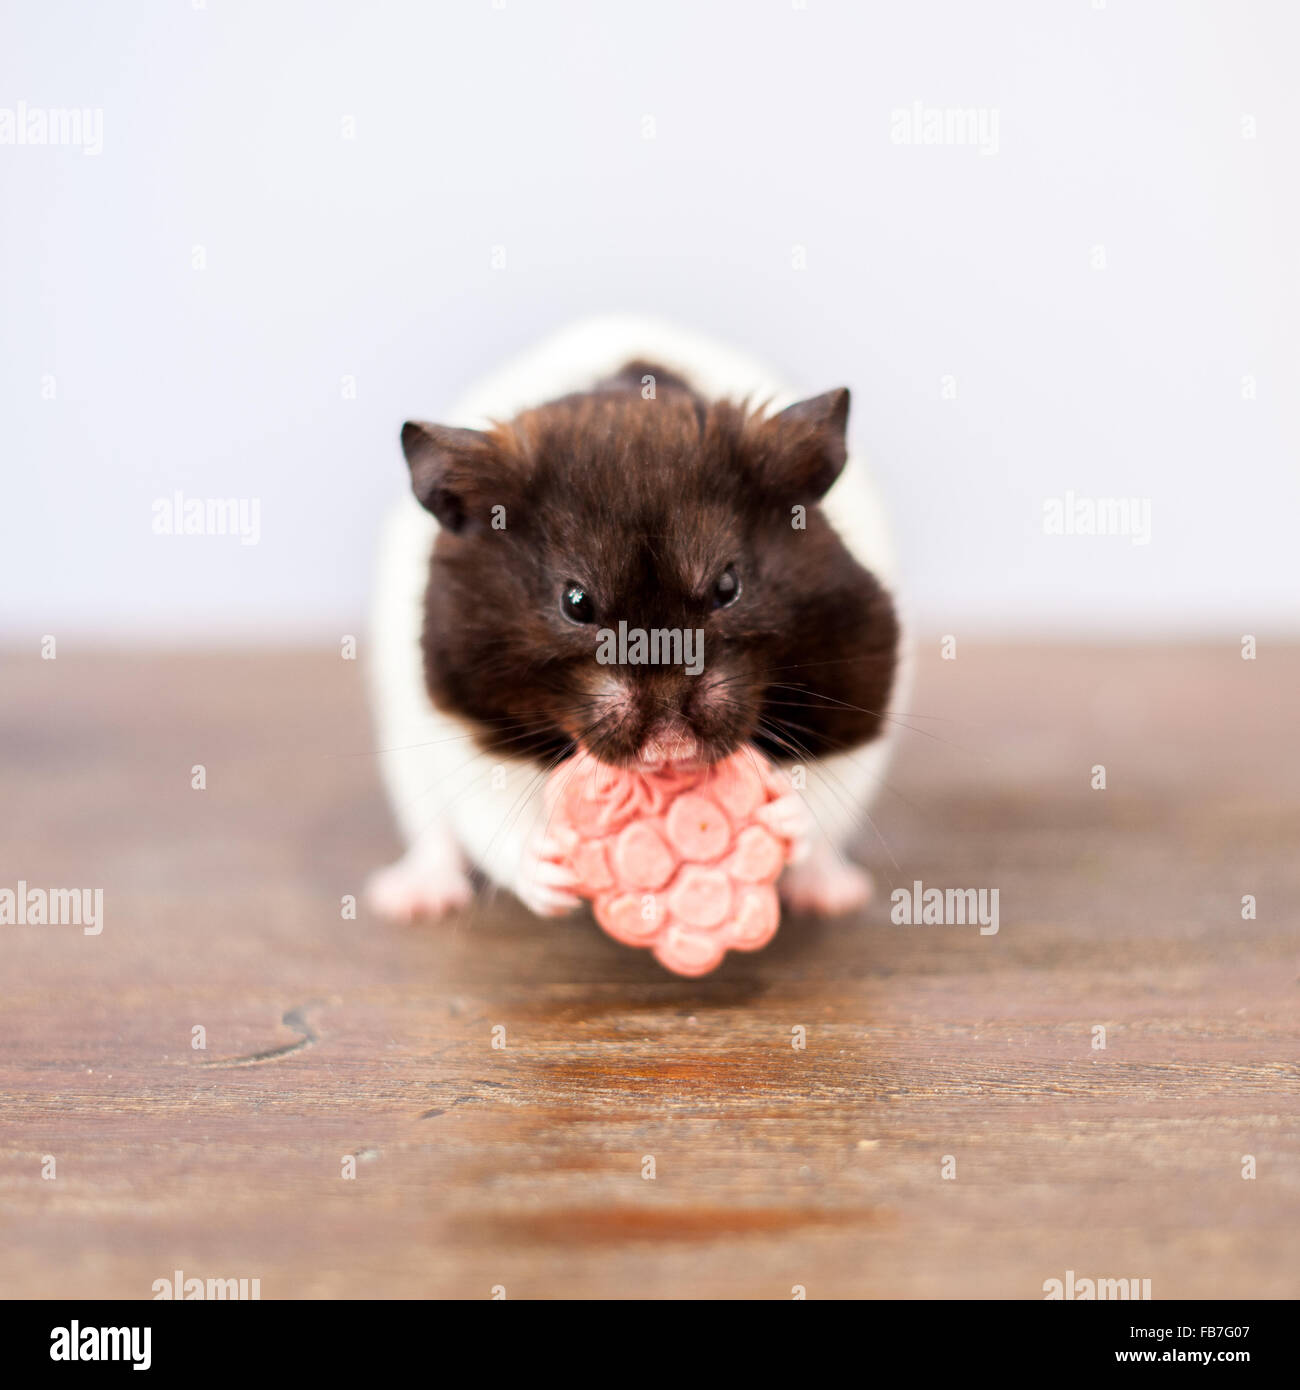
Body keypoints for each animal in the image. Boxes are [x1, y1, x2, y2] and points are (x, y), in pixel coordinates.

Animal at [367, 316, 904, 922]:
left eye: (728, 587)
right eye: (575, 603)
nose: (670, 745)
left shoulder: (862, 687)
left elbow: (820, 791)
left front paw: (781, 813)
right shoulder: (454, 715)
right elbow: (494, 808)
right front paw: (554, 870)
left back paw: (830, 895)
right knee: (434, 835)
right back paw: (412, 899)